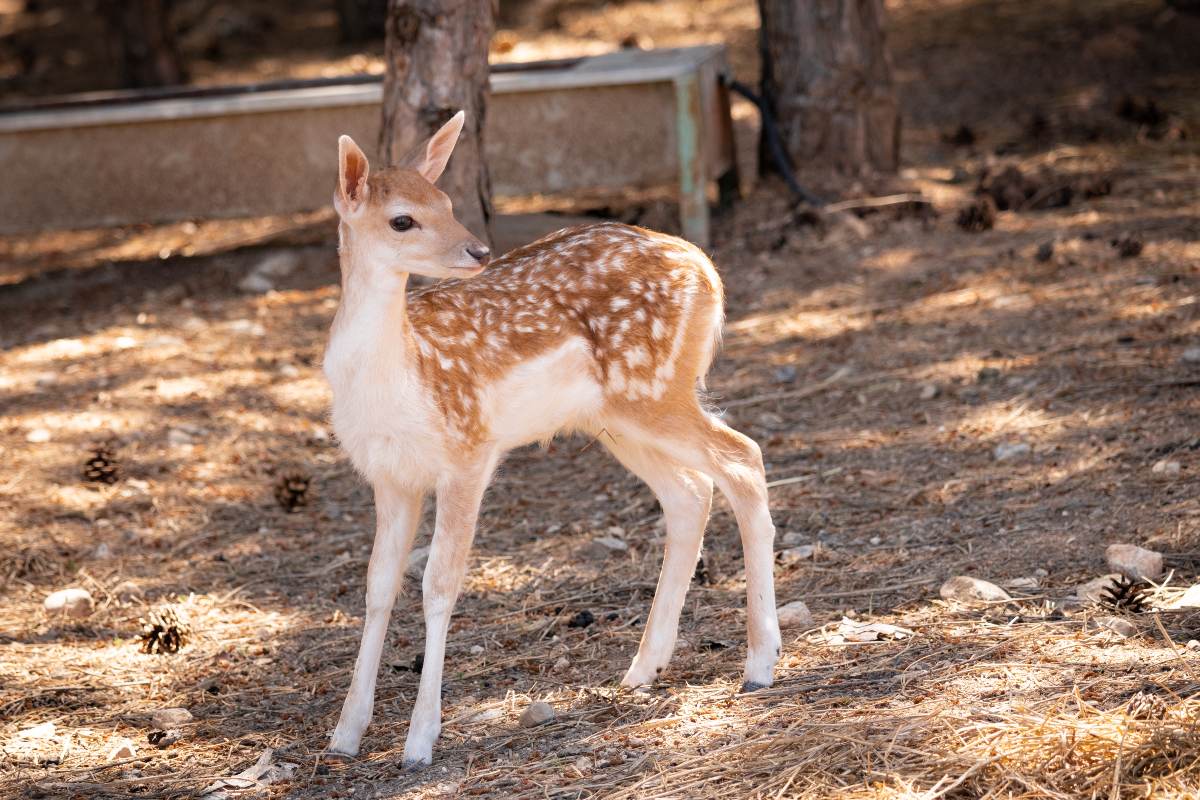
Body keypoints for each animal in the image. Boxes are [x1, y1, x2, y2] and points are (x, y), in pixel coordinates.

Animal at [323, 111, 781, 768]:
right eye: (402, 219)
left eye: (448, 201)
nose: (479, 250)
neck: (401, 377)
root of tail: (707, 269)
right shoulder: (390, 475)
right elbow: (378, 586)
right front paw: (346, 733)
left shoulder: (468, 451)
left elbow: (439, 586)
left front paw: (420, 740)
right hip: (615, 419)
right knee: (691, 492)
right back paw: (644, 669)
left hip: (654, 389)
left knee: (741, 457)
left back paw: (759, 664)